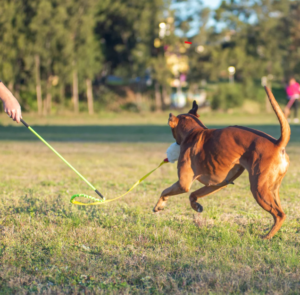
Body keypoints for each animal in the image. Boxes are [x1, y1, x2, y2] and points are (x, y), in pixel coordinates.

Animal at [154, 86, 290, 239]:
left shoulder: (183, 184)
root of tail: (277, 144)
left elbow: (165, 191)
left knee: (279, 215)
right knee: (279, 212)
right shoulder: (216, 184)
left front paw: (159, 205)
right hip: (272, 190)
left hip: (259, 190)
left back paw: (267, 237)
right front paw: (196, 206)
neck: (193, 131)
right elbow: (193, 195)